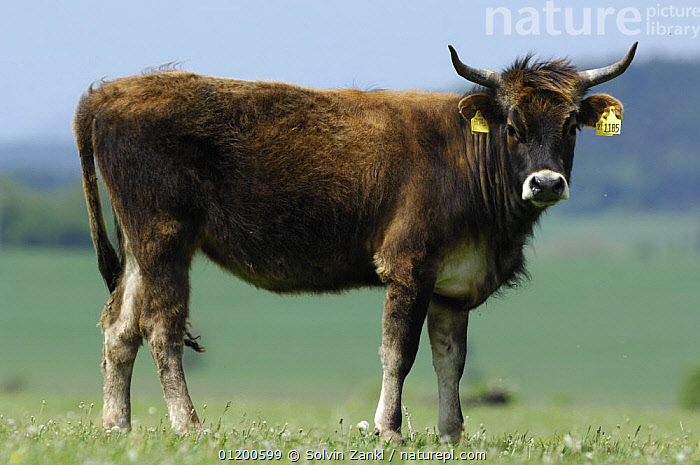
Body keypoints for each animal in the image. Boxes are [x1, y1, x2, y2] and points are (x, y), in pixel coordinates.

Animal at [74, 43, 637, 443]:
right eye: (514, 127)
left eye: (571, 125)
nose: (546, 183)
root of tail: (110, 91)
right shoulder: (408, 266)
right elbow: (398, 352)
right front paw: (390, 430)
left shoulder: (453, 283)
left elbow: (450, 360)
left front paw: (452, 435)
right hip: (164, 237)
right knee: (160, 328)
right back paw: (188, 426)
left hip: (138, 247)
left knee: (119, 329)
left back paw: (117, 427)